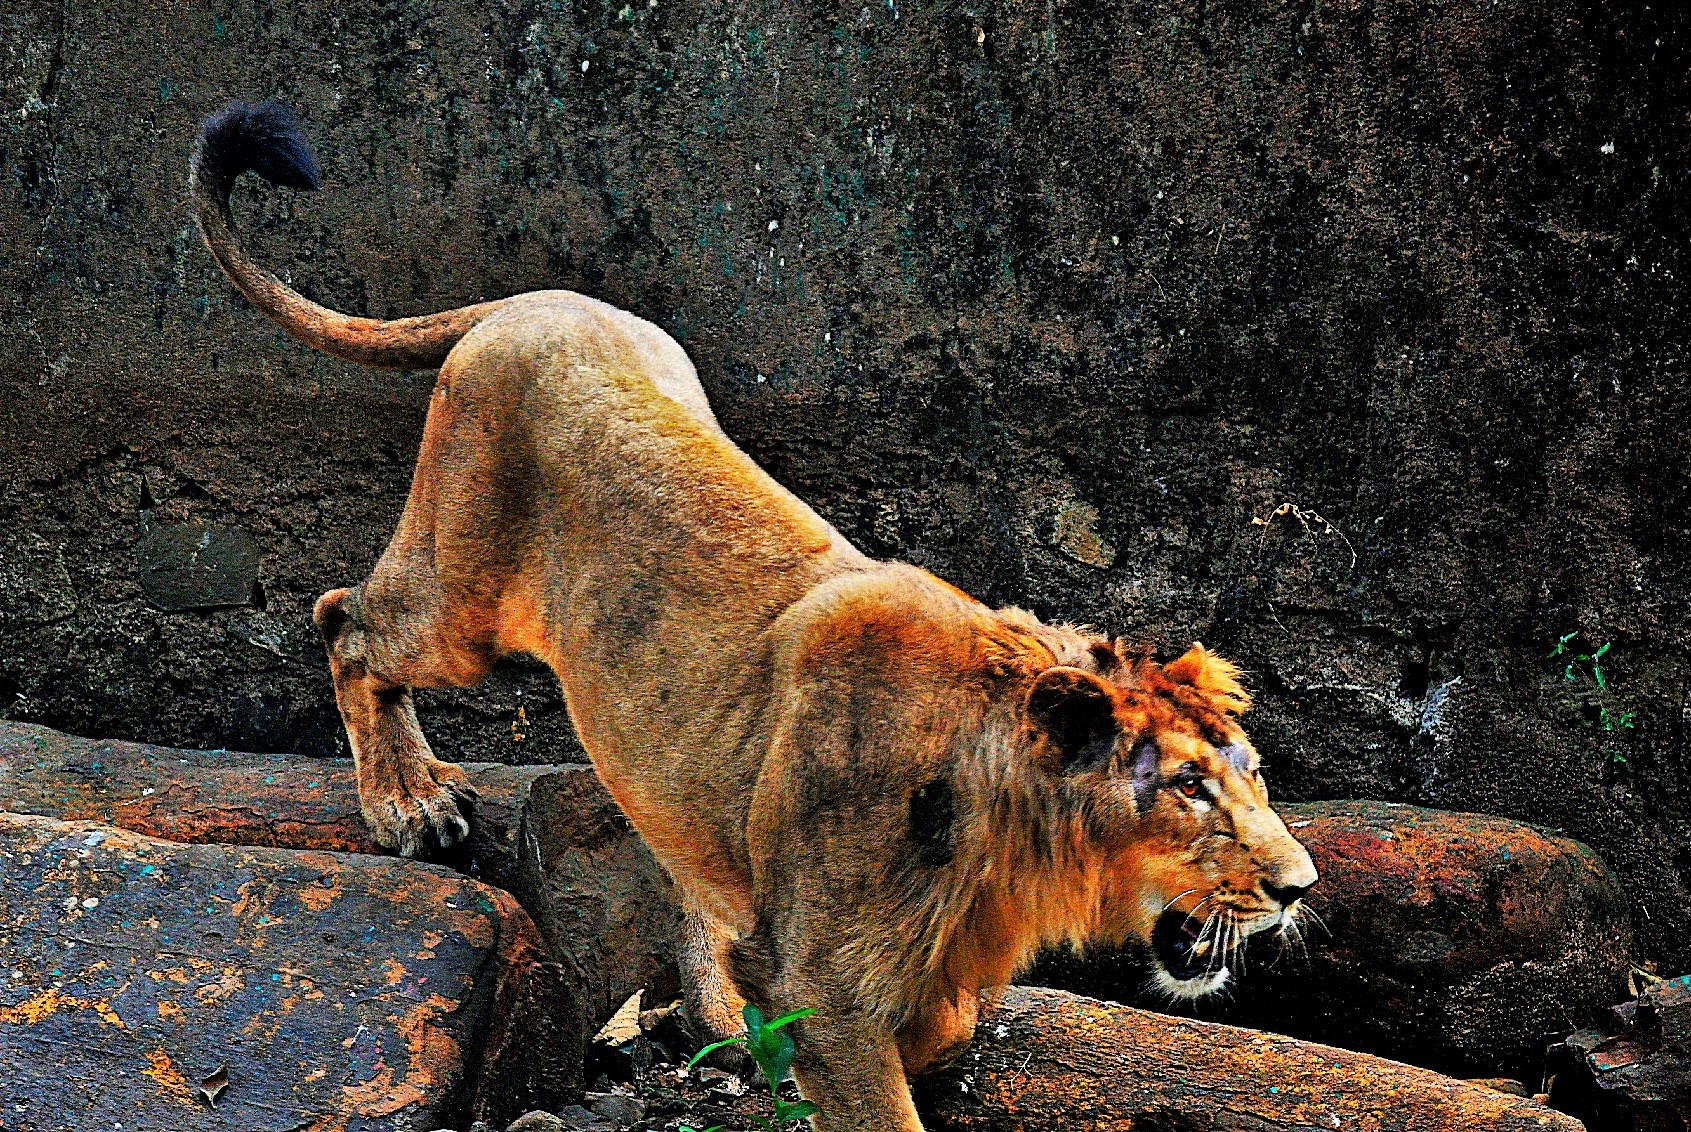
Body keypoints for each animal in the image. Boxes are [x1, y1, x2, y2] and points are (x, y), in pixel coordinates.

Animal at [190, 101, 1317, 1131]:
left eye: (1253, 777)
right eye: (1185, 788)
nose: (1300, 885)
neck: (1008, 842)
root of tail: (538, 297)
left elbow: (927, 1026)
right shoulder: (828, 992)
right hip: (457, 600)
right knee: (344, 619)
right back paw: (408, 801)